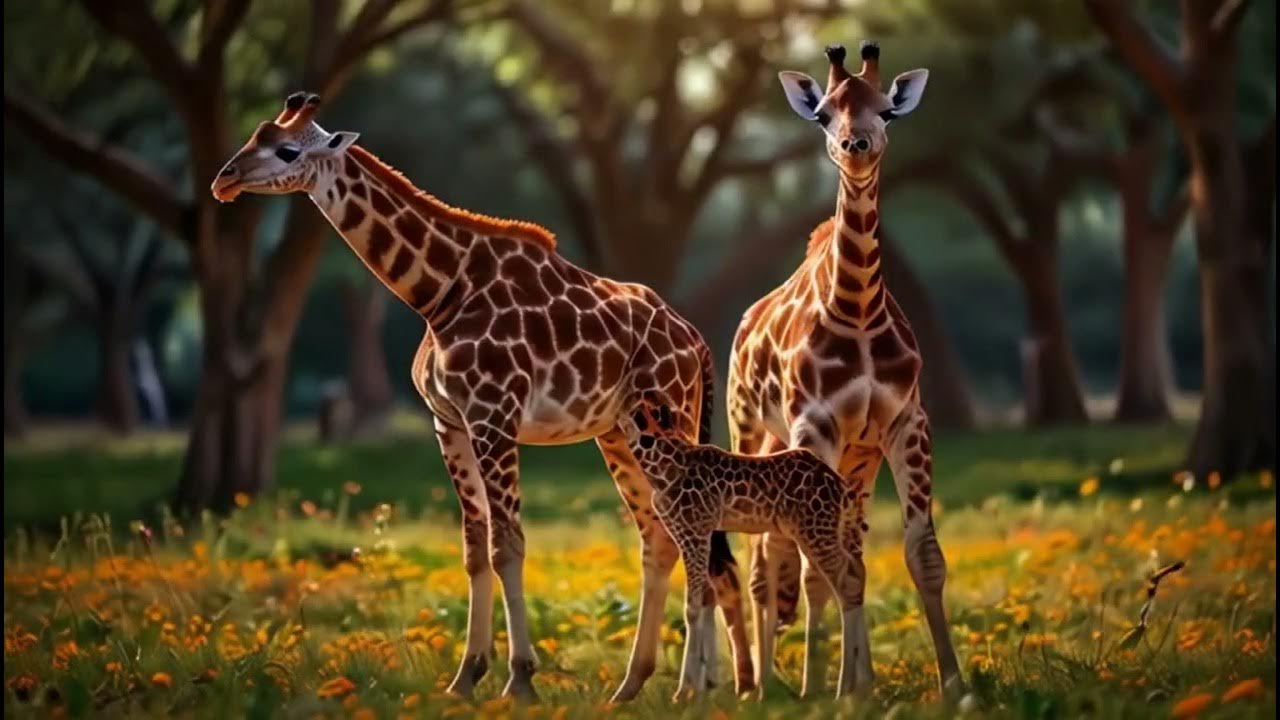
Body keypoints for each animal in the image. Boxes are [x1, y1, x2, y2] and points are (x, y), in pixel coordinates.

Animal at [209, 92, 754, 701]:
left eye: (286, 149)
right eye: (254, 136)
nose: (224, 180)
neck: (439, 292)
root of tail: (697, 342)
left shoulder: (495, 414)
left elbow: (507, 544)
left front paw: (520, 679)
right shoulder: (448, 421)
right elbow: (473, 547)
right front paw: (466, 676)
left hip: (669, 417)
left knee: (693, 539)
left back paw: (697, 688)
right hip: (620, 432)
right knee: (660, 541)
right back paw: (640, 688)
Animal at [617, 398, 871, 701]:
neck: (661, 466)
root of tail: (841, 488)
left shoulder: (695, 530)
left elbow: (692, 606)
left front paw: (684, 693)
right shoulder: (691, 533)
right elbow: (701, 600)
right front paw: (696, 691)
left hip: (816, 529)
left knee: (845, 582)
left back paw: (843, 690)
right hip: (819, 531)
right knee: (853, 574)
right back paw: (854, 687)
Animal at [726, 43, 963, 697]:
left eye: (888, 110)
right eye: (823, 114)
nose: (856, 145)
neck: (857, 311)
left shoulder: (905, 424)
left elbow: (918, 556)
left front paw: (952, 686)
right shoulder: (814, 430)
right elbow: (815, 568)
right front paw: (819, 693)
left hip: (857, 460)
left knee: (843, 553)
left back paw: (857, 681)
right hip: (751, 432)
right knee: (765, 555)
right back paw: (763, 686)